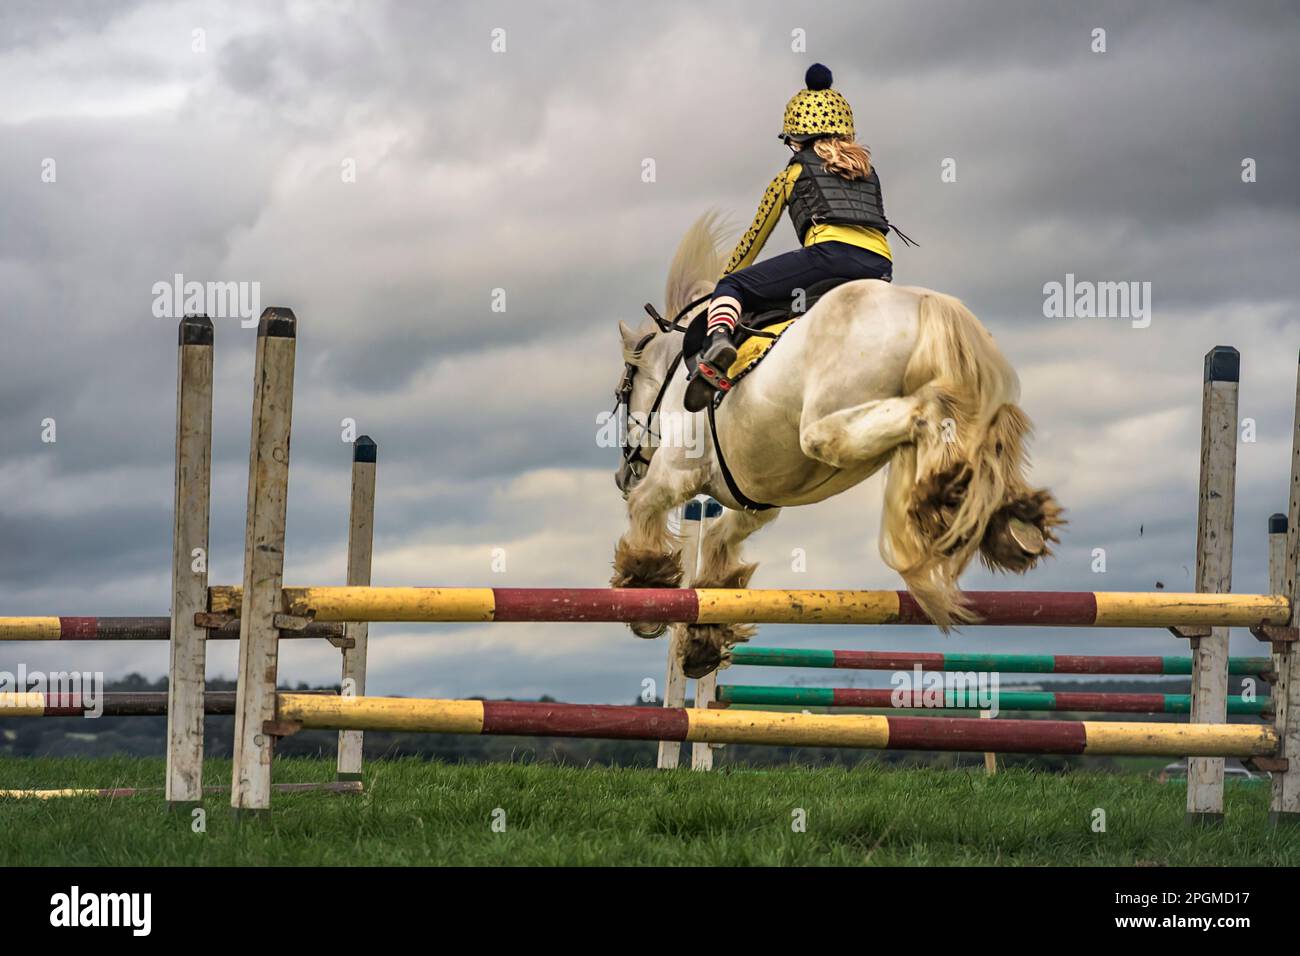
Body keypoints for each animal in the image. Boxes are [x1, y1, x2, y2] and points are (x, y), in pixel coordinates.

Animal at [612, 212, 1063, 677]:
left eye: (622, 392)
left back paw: (947, 496)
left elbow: (644, 506)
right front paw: (705, 636)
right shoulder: (757, 503)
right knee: (980, 433)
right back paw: (1011, 519)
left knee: (928, 414)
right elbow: (718, 543)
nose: (622, 475)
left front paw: (644, 581)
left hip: (826, 429)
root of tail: (924, 303)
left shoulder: (678, 473)